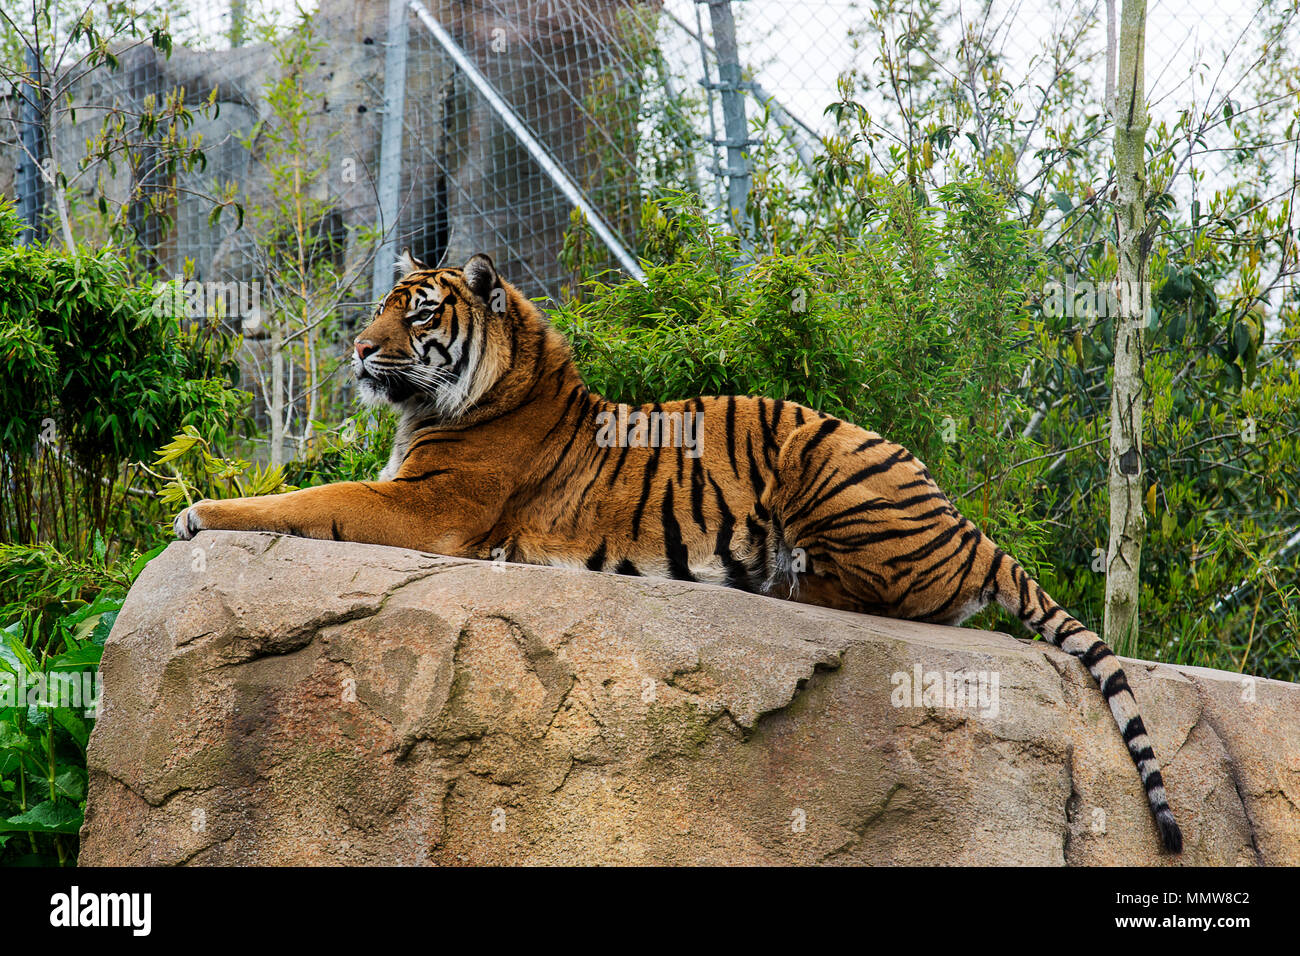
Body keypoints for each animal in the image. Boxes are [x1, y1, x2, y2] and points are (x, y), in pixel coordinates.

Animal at [174, 250, 1184, 853]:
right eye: (381, 309)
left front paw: (199, 513)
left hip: (820, 453)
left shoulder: (428, 507)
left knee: (868, 595)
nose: (356, 348)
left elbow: (310, 501)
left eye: (419, 314)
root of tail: (968, 527)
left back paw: (779, 585)